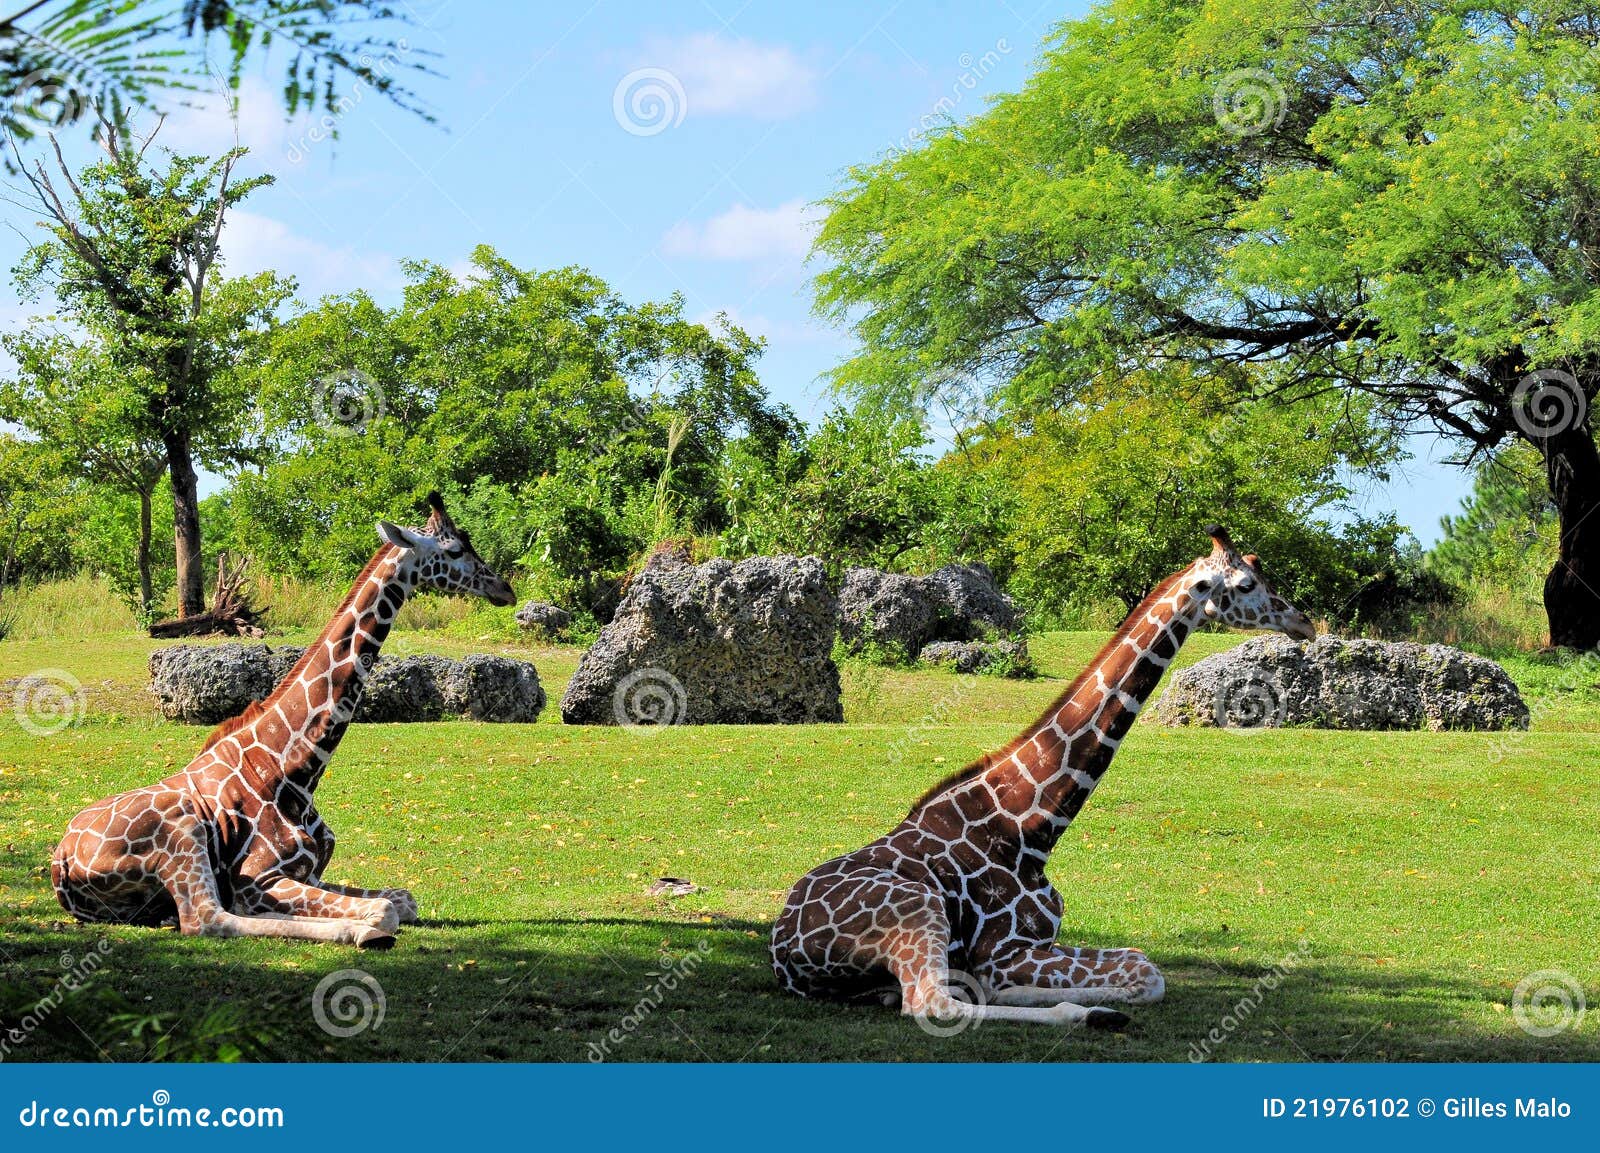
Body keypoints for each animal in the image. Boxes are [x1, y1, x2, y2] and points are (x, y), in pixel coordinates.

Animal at [52, 493, 516, 948]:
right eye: (454, 549)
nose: (505, 589)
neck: (295, 770)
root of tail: (61, 861)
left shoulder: (311, 871)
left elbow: (403, 898)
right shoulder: (259, 876)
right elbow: (385, 908)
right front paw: (361, 923)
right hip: (181, 832)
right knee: (208, 919)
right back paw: (356, 930)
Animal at [771, 526, 1317, 1028]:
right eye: (1246, 584)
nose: (1304, 622)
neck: (1032, 828)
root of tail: (784, 958)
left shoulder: (1038, 944)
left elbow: (1139, 963)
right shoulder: (1005, 949)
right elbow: (1146, 973)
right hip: (916, 906)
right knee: (931, 1003)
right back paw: (1086, 1012)